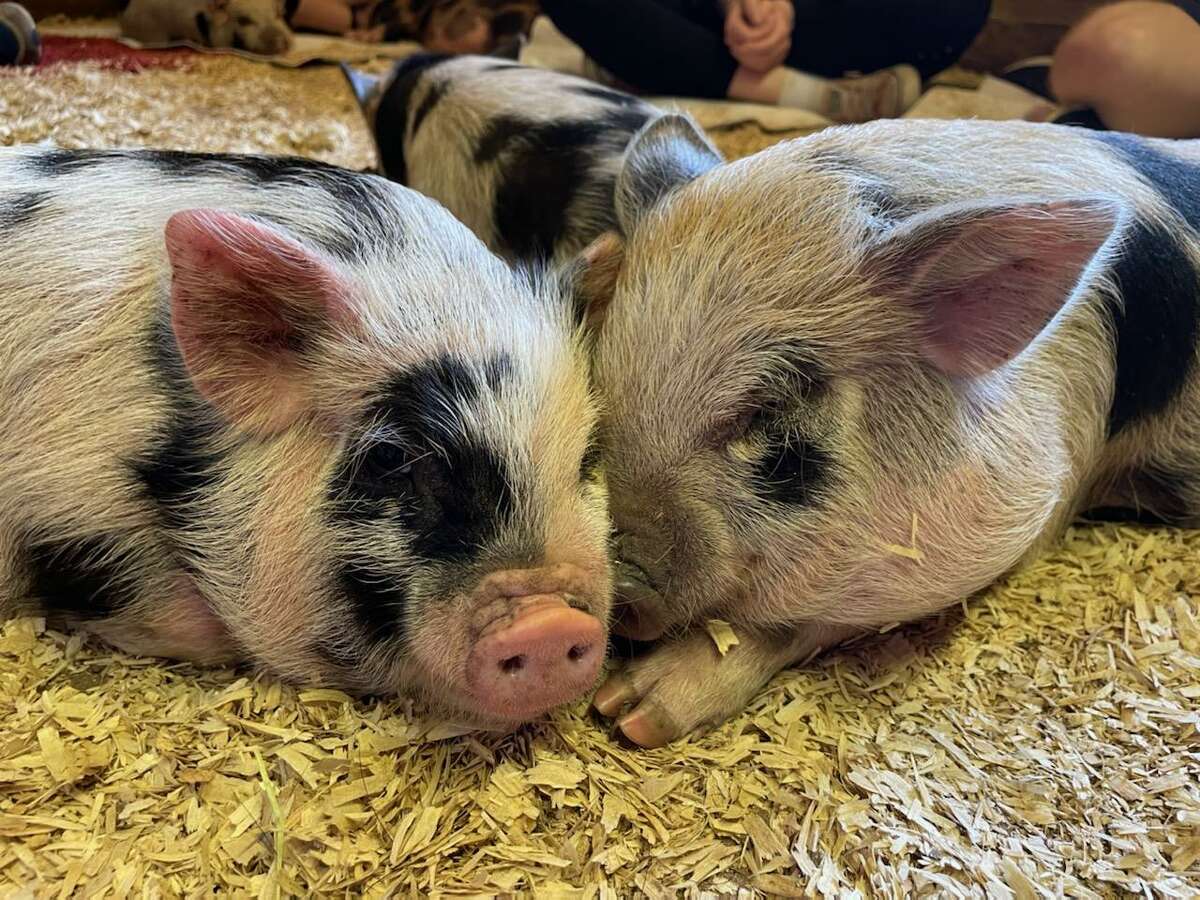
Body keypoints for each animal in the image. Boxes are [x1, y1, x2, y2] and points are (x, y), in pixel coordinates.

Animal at [575, 115, 1200, 746]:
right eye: (603, 377)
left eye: (769, 411)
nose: (623, 580)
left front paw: (633, 713)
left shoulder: (1043, 490)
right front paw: (614, 707)